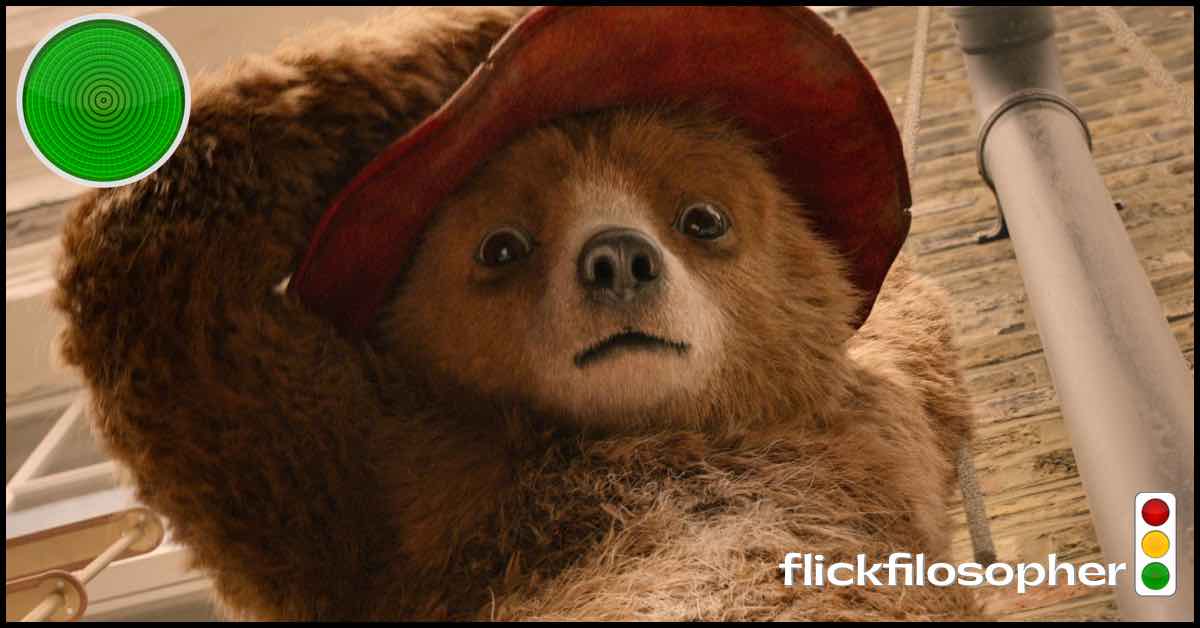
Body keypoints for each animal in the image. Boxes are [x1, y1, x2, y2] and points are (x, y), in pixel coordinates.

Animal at [54, 6, 981, 620]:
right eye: (500, 245)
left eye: (703, 217)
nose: (616, 257)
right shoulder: (378, 502)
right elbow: (199, 366)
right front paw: (459, 53)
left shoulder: (879, 421)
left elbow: (914, 344)